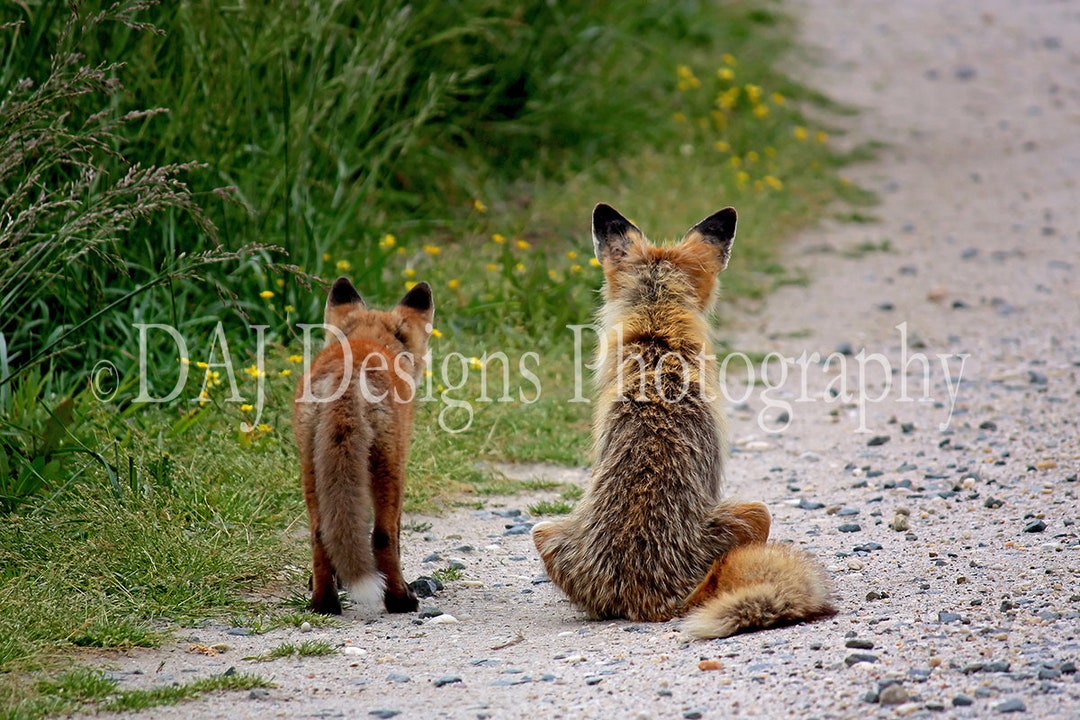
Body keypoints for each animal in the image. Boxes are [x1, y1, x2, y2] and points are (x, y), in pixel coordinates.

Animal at [293, 277, 434, 615]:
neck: (368, 340)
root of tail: (349, 372)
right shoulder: (400, 460)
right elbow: (395, 534)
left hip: (311, 465)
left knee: (320, 535)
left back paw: (324, 603)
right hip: (385, 465)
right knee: (381, 536)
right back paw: (399, 600)